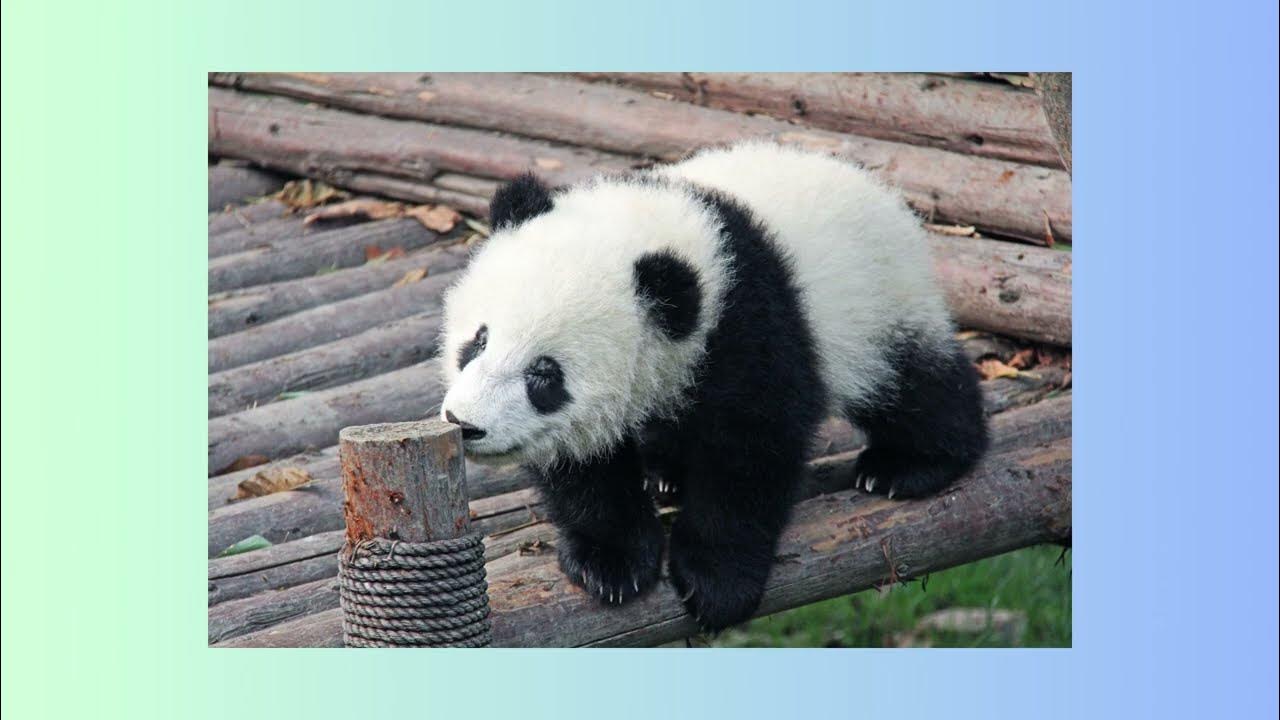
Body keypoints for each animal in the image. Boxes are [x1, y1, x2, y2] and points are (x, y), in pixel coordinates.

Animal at [439, 141, 987, 631]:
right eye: (479, 340)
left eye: (544, 375)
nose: (465, 423)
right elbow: (585, 465)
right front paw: (611, 562)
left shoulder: (749, 322)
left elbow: (751, 450)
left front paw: (716, 582)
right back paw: (667, 473)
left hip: (878, 301)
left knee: (911, 383)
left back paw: (908, 465)